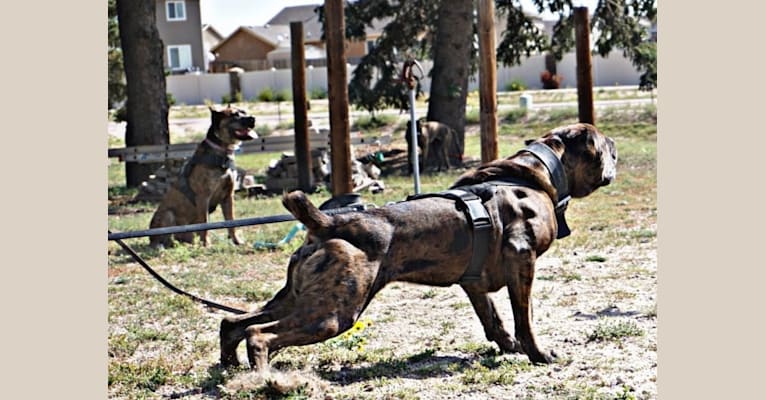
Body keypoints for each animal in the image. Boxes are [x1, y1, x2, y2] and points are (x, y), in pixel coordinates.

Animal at [148, 107, 256, 250]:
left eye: (244, 111)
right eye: (235, 114)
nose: (253, 119)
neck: (221, 150)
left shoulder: (228, 196)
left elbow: (231, 221)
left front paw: (236, 241)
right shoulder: (203, 197)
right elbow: (204, 224)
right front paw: (206, 244)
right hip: (167, 214)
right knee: (166, 238)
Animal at [219, 122, 616, 372]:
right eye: (603, 144)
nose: (614, 147)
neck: (536, 173)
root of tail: (329, 223)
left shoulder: (474, 283)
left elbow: (493, 318)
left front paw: (508, 346)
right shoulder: (523, 260)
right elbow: (525, 317)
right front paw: (537, 353)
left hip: (298, 299)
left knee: (233, 322)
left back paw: (230, 369)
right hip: (332, 313)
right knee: (259, 335)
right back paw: (266, 379)